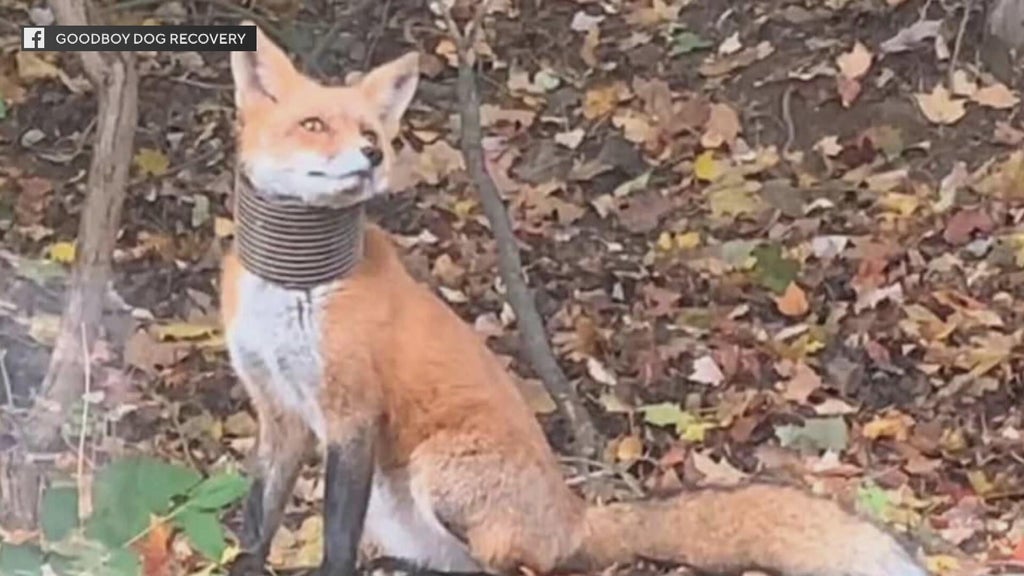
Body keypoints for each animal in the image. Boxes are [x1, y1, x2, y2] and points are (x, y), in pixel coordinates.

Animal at [219, 22, 930, 576]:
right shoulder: (277, 411)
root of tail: (574, 512)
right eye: (313, 124)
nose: (371, 154)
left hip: (437, 469)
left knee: (517, 567)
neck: (294, 283)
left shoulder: (351, 413)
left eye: (372, 131)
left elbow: (335, 540)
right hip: (400, 509)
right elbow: (256, 522)